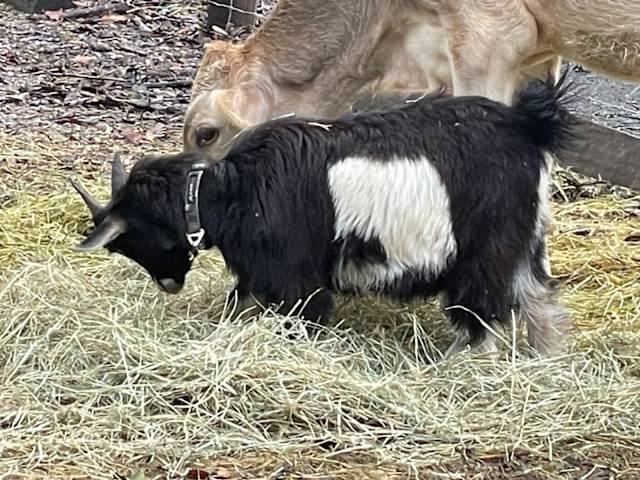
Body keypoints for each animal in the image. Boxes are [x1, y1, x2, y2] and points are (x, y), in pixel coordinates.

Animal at [72, 78, 573, 358]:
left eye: (131, 240)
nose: (169, 285)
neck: (230, 190)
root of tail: (528, 126)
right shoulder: (259, 271)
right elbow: (239, 303)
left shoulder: (294, 274)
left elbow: (304, 316)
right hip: (524, 242)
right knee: (539, 302)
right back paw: (544, 361)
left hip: (484, 248)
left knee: (480, 314)